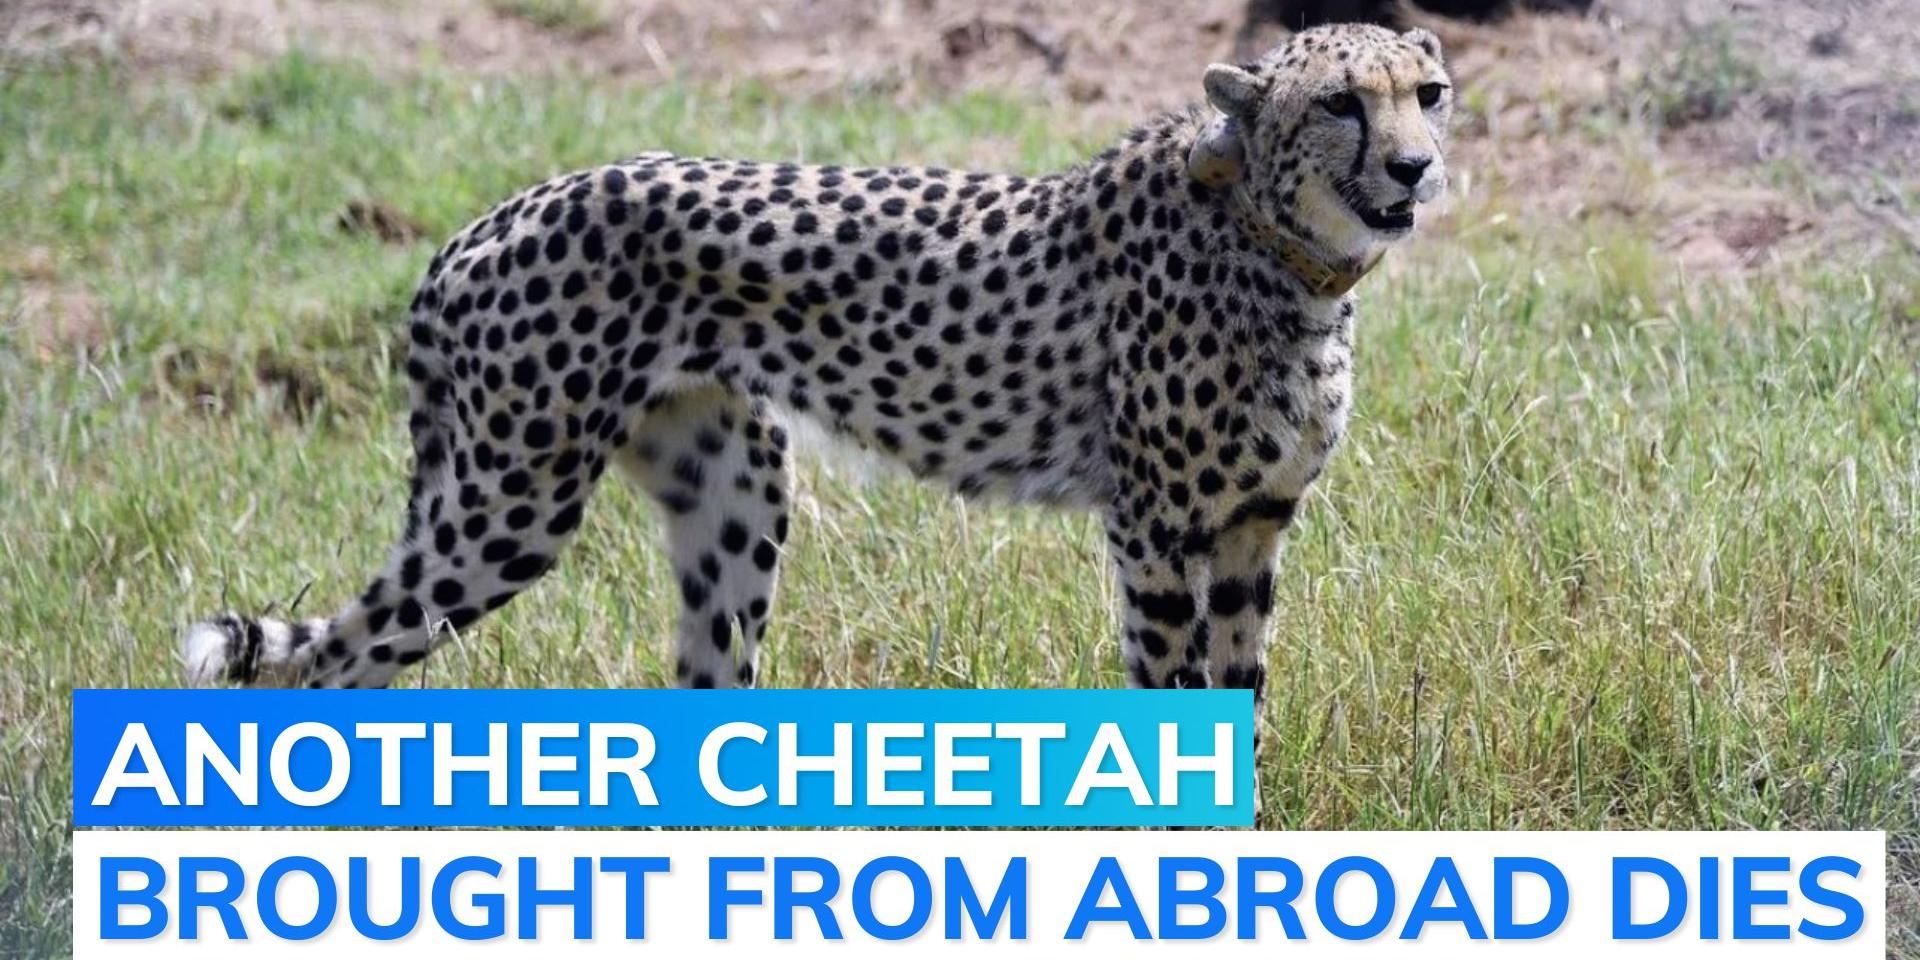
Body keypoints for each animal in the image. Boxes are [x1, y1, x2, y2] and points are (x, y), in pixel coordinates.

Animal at [183, 23, 1453, 711]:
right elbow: (1176, 701)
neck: (1282, 247)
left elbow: (1240, 697)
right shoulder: (1157, 528)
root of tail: (490, 217)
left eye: (1428, 94)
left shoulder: (1251, 526)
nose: (1415, 166)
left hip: (733, 492)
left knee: (704, 681)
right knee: (326, 664)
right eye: (1340, 103)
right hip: (510, 505)